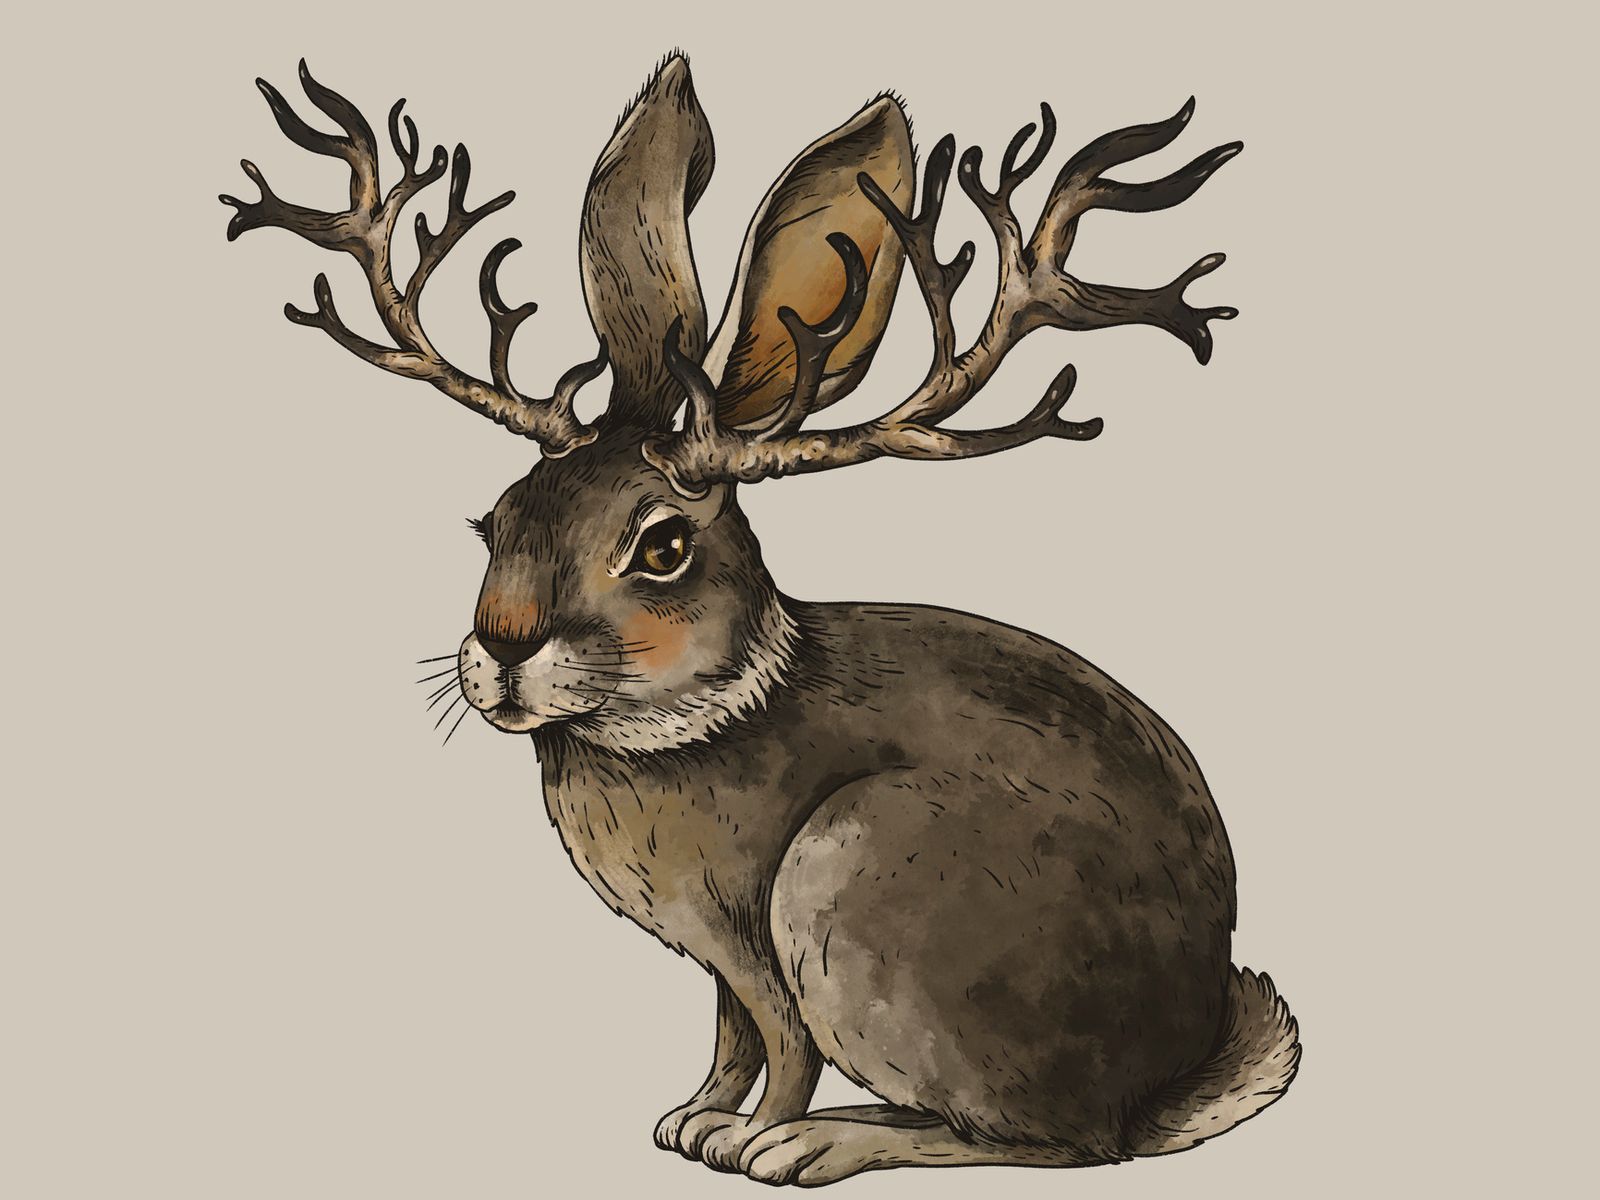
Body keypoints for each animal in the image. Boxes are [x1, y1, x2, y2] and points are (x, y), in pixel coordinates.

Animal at [222, 54, 1298, 1187]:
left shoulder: (752, 938)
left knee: (1048, 1145)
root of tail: (1158, 1087)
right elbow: (729, 1037)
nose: (506, 647)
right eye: (497, 521)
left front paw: (746, 1142)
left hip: (856, 890)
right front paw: (688, 1121)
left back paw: (821, 1143)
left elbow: (780, 1043)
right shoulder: (714, 961)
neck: (707, 709)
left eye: (660, 547)